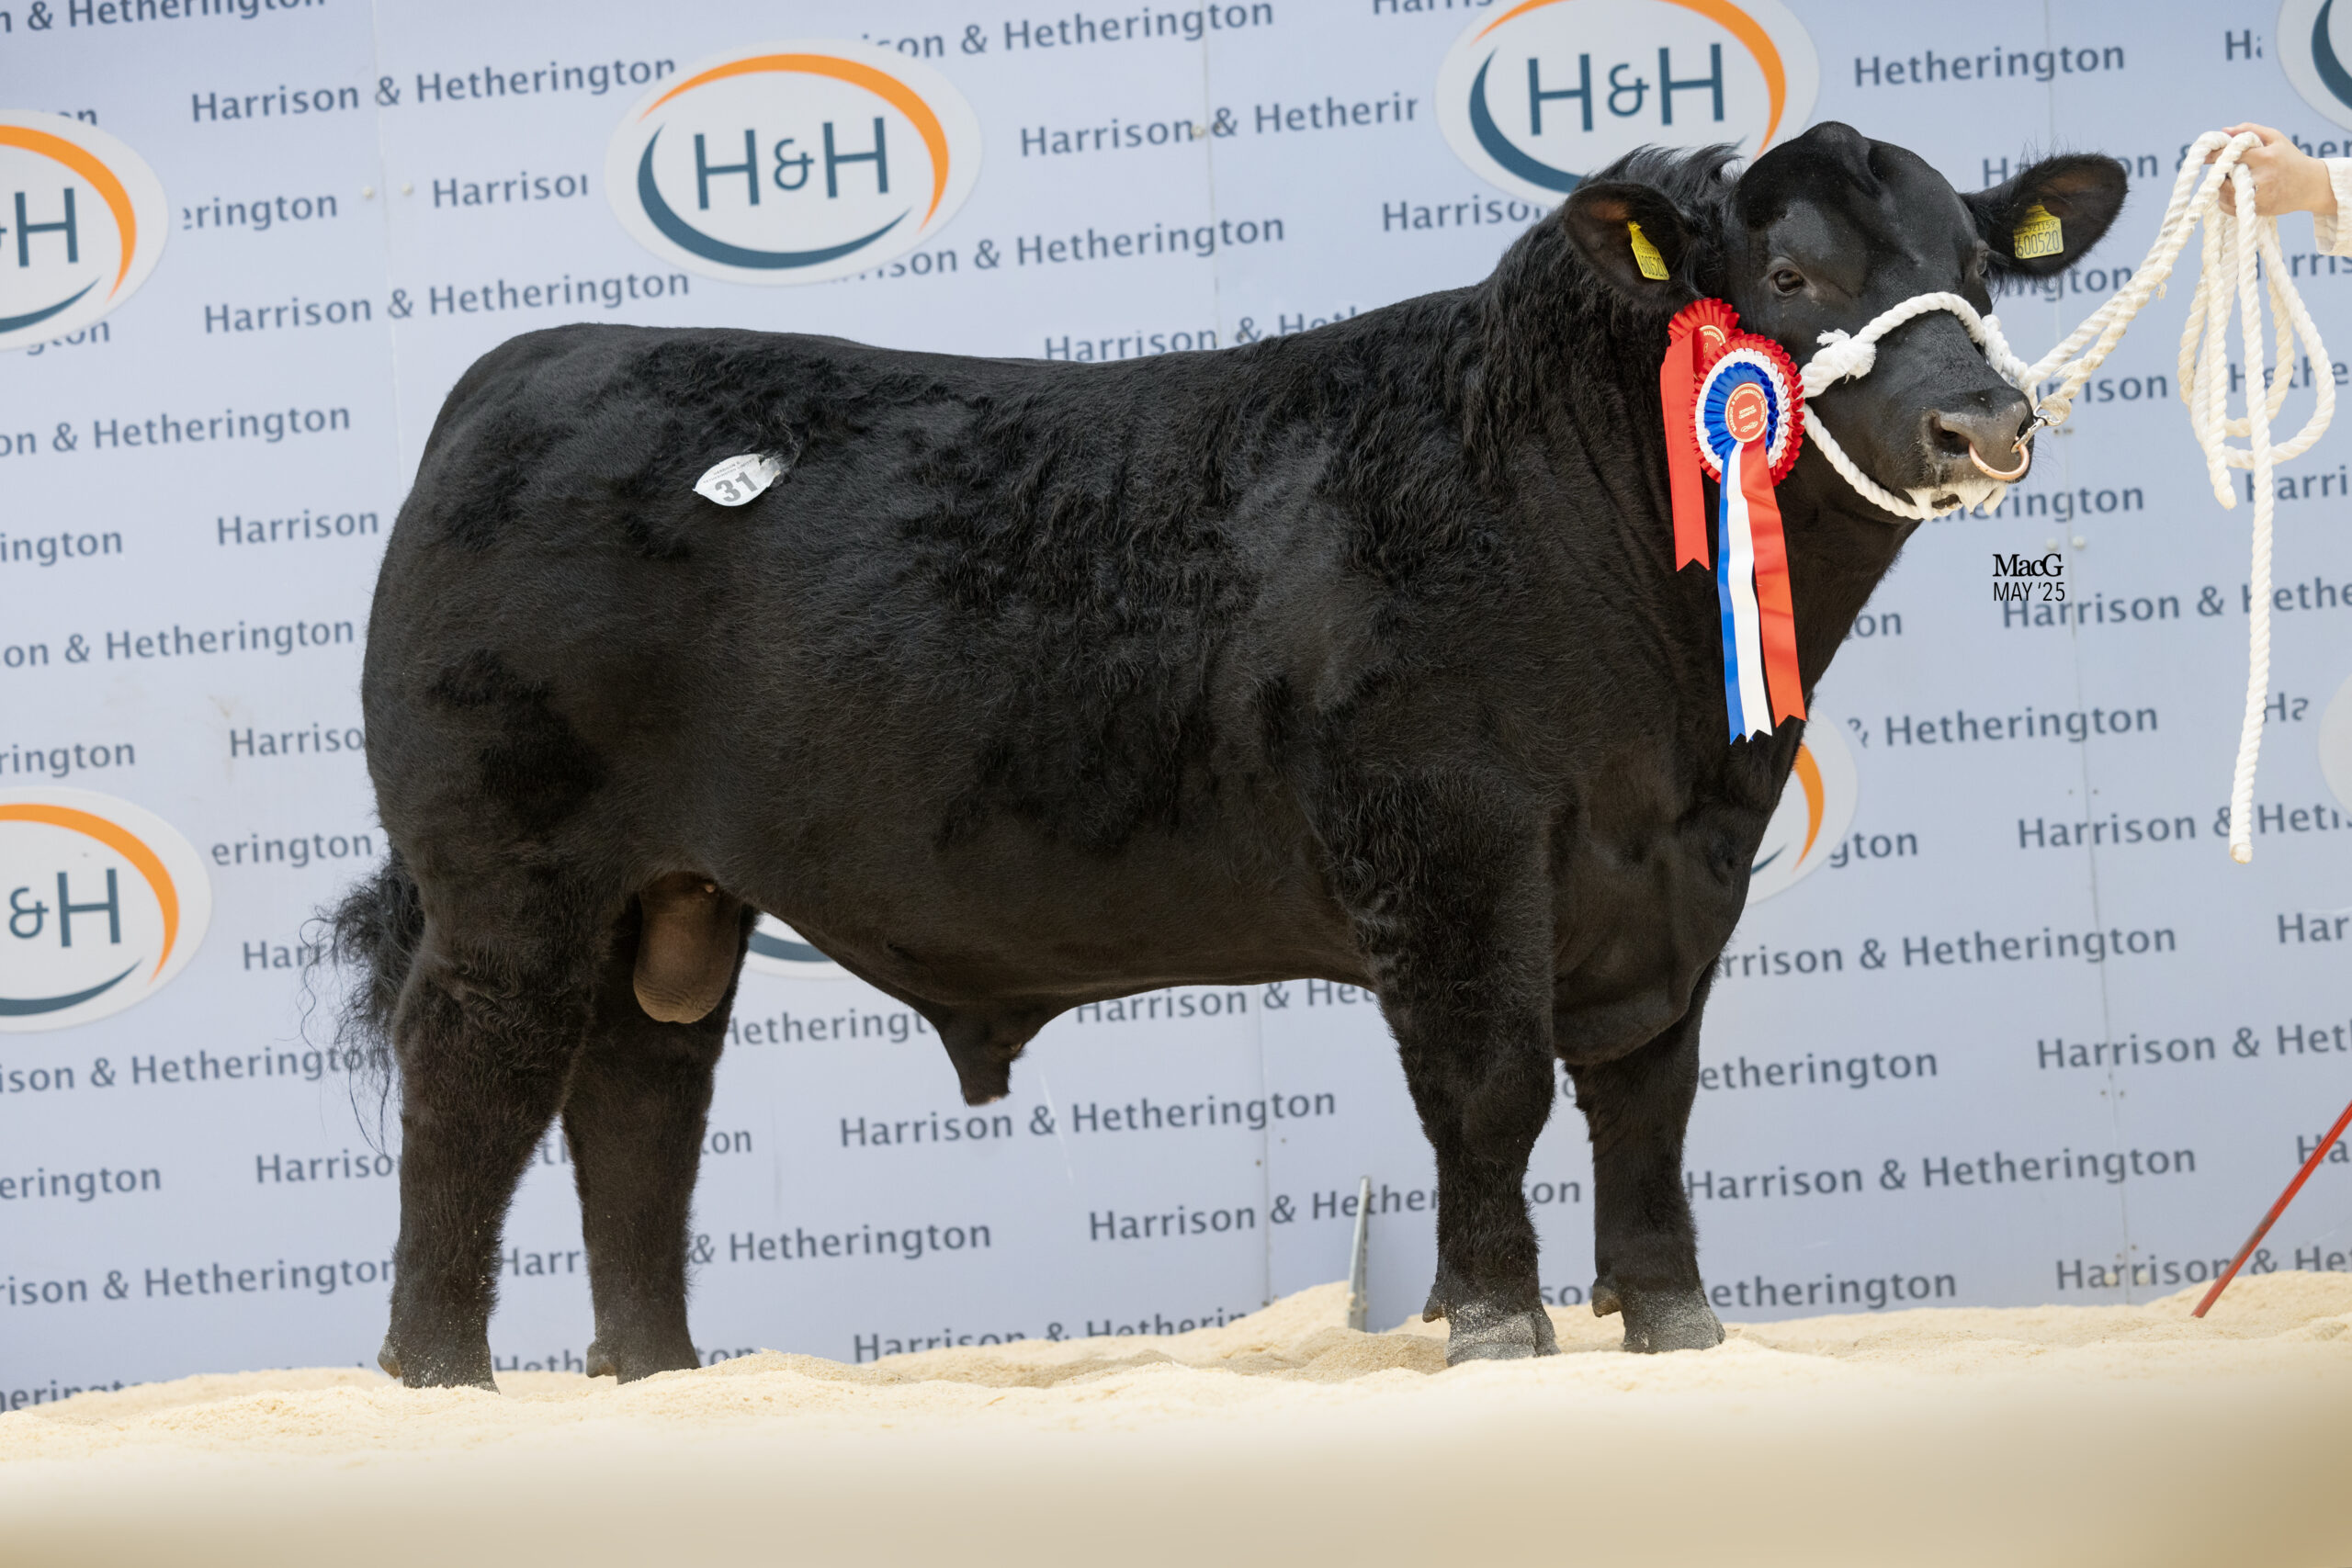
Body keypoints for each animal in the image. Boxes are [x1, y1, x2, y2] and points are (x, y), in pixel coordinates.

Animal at [331, 123, 2127, 1387]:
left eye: (1978, 265)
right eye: (1795, 280)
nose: (1985, 422)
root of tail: (534, 361)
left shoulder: (1683, 869)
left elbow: (1651, 1097)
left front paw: (1678, 1328)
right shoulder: (1445, 838)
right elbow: (1490, 1080)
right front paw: (1499, 1327)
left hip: (674, 893)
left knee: (639, 1099)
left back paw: (659, 1377)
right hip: (509, 866)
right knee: (476, 1072)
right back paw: (438, 1375)